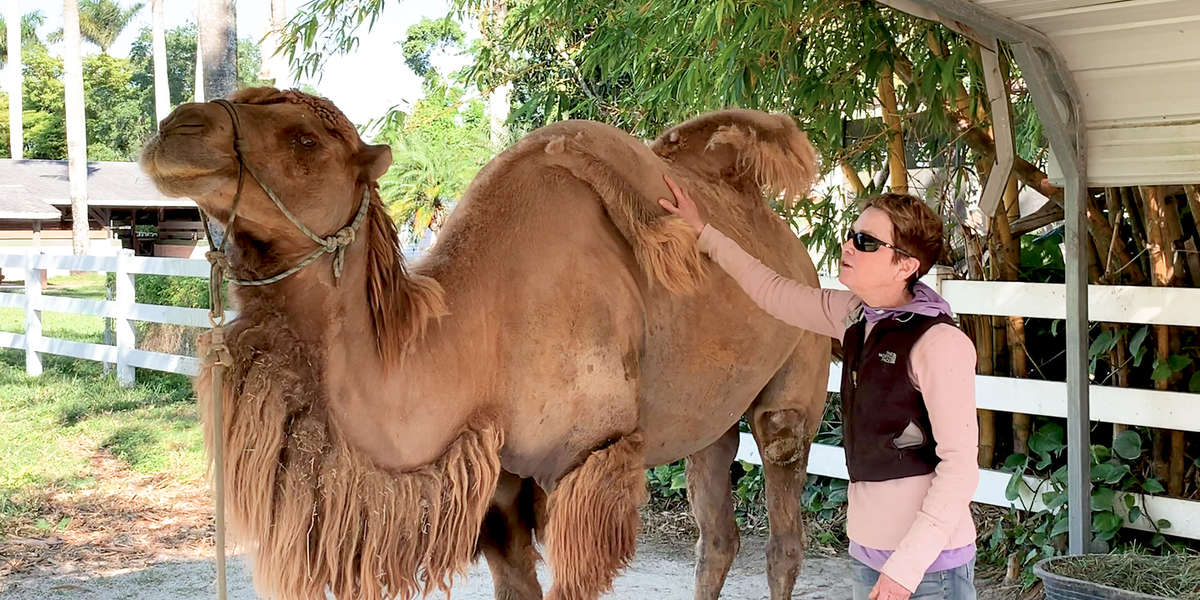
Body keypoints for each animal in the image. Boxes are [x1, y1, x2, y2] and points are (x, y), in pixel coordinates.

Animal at [140, 87, 830, 600]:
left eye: (305, 140)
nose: (175, 128)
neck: (476, 339)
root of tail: (794, 249)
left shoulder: (591, 462)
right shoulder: (499, 477)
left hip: (794, 387)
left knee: (782, 529)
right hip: (710, 422)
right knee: (717, 534)